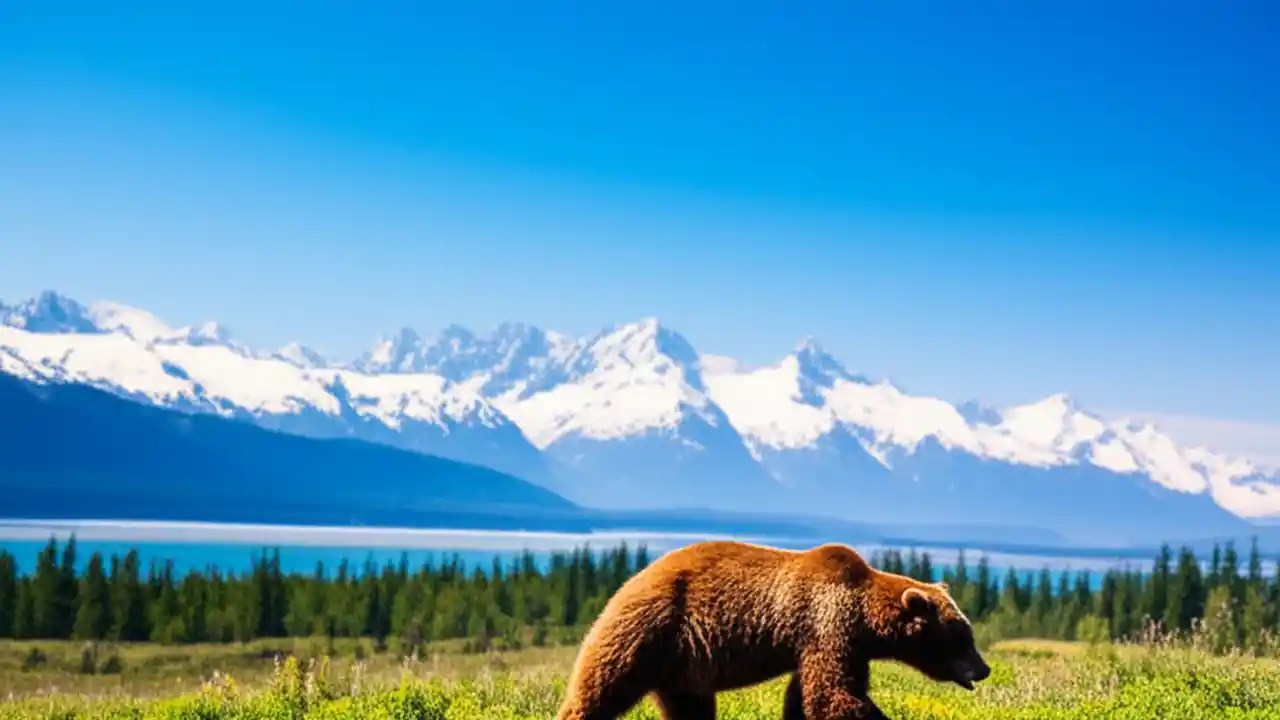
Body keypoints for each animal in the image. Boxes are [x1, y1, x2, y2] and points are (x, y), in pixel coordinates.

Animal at [556, 540, 989, 720]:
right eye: (961, 636)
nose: (983, 669)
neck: (866, 616)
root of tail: (627, 583)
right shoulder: (826, 624)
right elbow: (833, 696)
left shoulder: (839, 644)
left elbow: (807, 697)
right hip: (648, 630)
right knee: (600, 689)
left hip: (682, 664)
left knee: (690, 708)